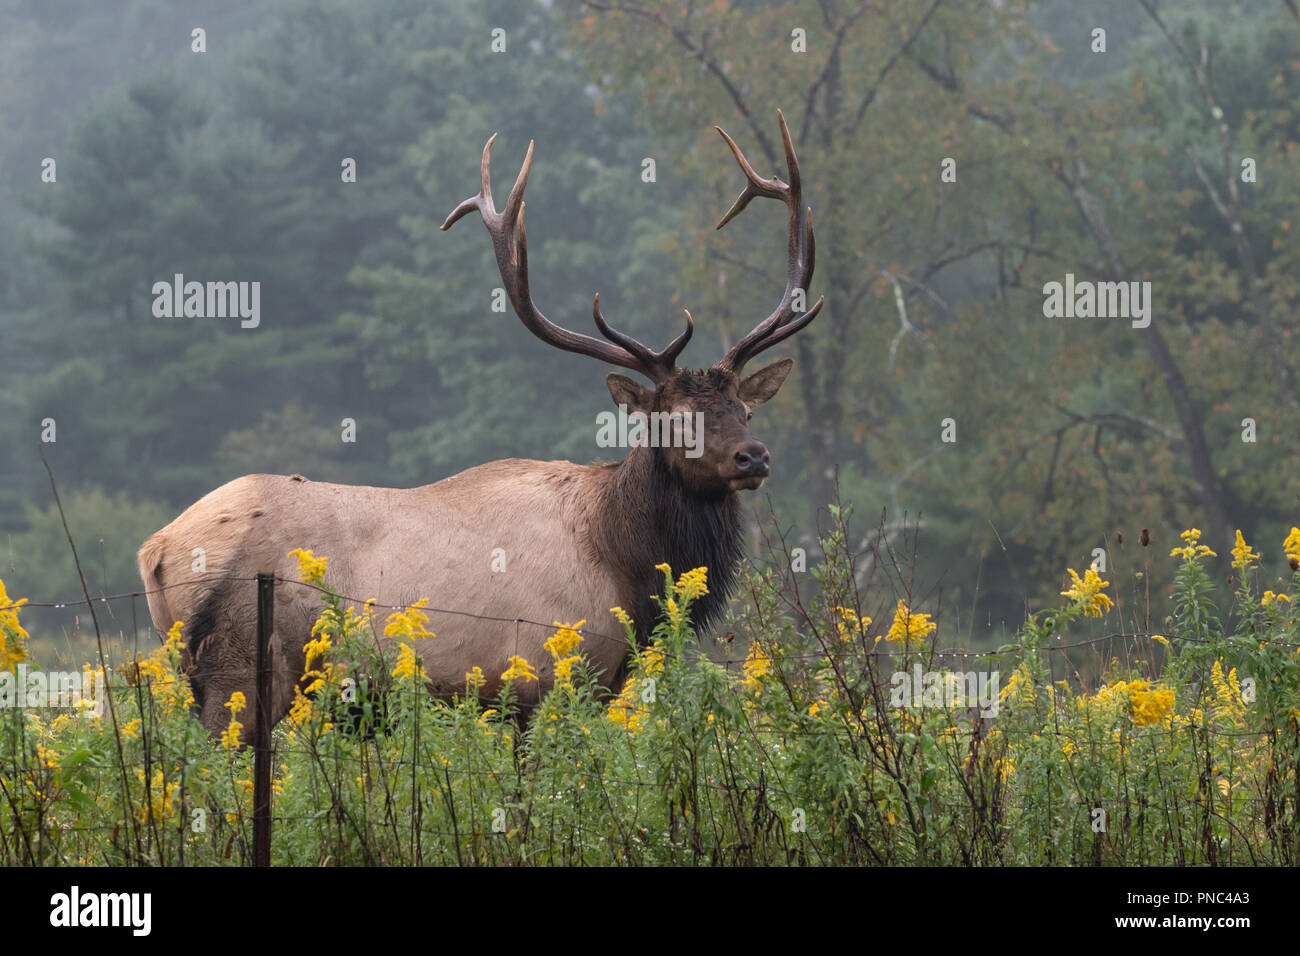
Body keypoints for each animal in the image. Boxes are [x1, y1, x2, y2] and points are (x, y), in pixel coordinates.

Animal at [136, 110, 823, 738]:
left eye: (745, 409)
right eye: (677, 420)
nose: (754, 456)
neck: (621, 558)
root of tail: (156, 549)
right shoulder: (540, 678)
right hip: (238, 667)